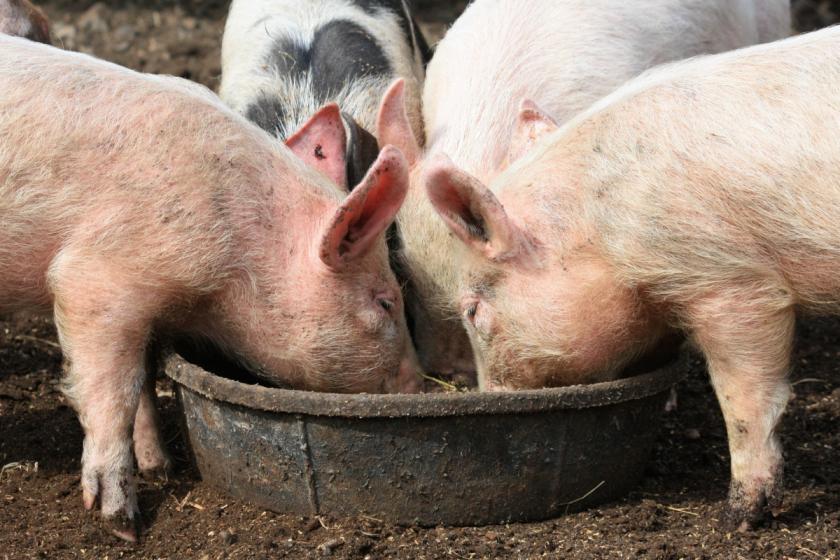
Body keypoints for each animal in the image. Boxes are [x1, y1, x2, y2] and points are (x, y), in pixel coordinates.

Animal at [0, 35, 421, 541]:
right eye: (387, 302)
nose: (420, 385)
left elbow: (143, 379)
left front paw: (160, 468)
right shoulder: (96, 277)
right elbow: (114, 389)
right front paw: (124, 524)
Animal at [425, 25, 840, 531]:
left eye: (472, 310)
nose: (490, 396)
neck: (598, 230)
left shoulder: (730, 280)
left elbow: (744, 397)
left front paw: (737, 520)